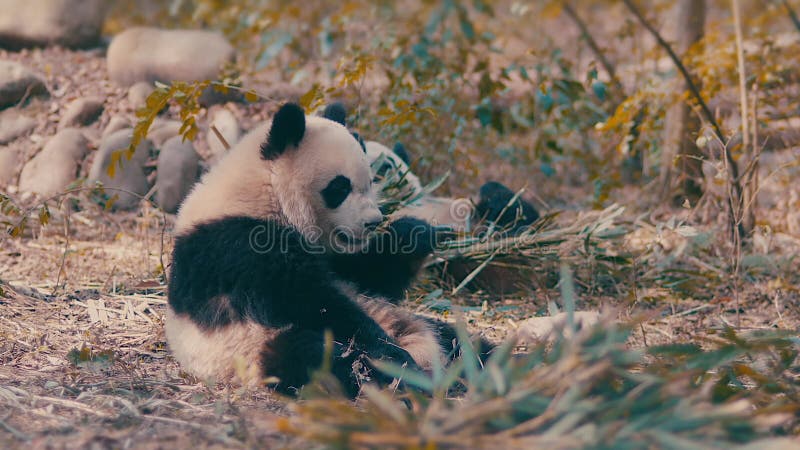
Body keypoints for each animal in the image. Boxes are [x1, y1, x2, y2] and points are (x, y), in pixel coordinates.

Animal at [166, 102, 489, 397]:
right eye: (340, 187)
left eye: (370, 182)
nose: (373, 222)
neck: (262, 190)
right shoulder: (236, 244)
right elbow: (309, 300)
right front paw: (392, 356)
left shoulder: (339, 262)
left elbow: (369, 276)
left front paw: (416, 233)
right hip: (250, 348)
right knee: (318, 357)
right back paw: (402, 374)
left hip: (408, 318)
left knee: (461, 340)